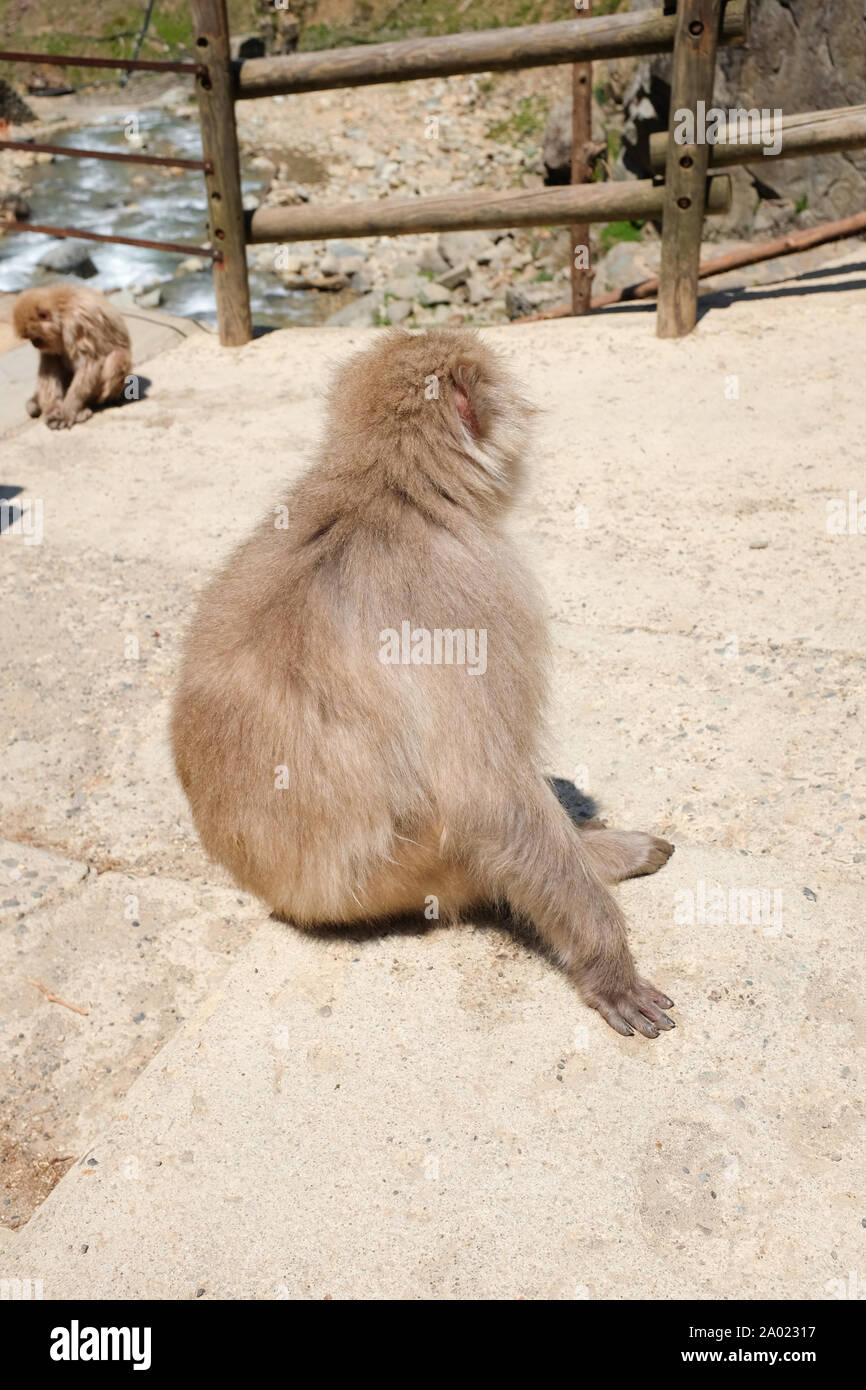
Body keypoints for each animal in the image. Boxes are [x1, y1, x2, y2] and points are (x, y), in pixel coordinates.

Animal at [13, 284, 132, 430]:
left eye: (37, 339)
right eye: (31, 339)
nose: (34, 344)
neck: (62, 310)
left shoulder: (77, 322)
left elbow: (89, 362)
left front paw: (67, 412)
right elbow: (50, 360)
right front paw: (52, 409)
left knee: (118, 357)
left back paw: (88, 406)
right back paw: (35, 403)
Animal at [172, 328, 676, 1039]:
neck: (388, 484)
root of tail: (268, 890)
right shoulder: (471, 597)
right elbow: (488, 798)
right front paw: (610, 967)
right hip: (399, 875)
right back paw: (601, 860)